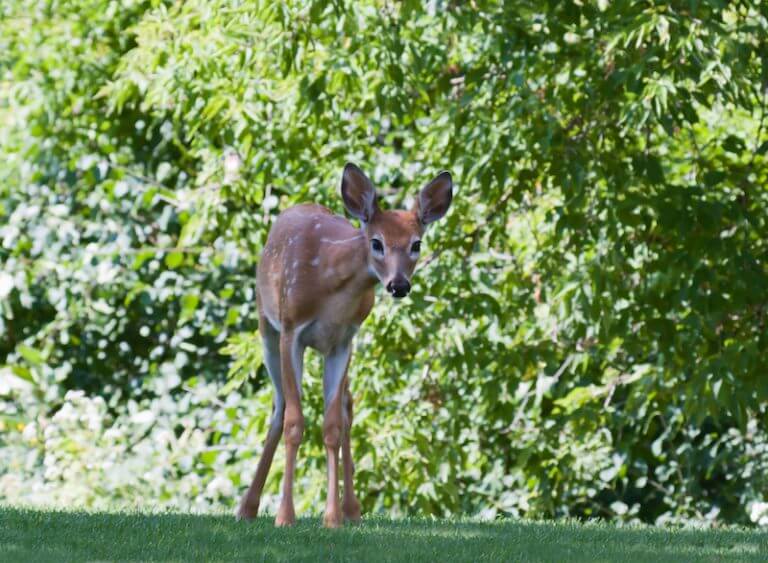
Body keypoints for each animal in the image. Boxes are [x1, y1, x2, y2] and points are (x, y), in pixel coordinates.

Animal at [236, 163, 453, 527]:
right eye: (376, 242)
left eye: (416, 244)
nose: (398, 285)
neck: (331, 286)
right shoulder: (292, 331)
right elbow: (295, 422)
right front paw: (285, 516)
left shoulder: (343, 341)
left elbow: (333, 426)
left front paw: (333, 517)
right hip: (266, 326)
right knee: (279, 408)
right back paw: (247, 507)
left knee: (347, 409)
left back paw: (352, 509)